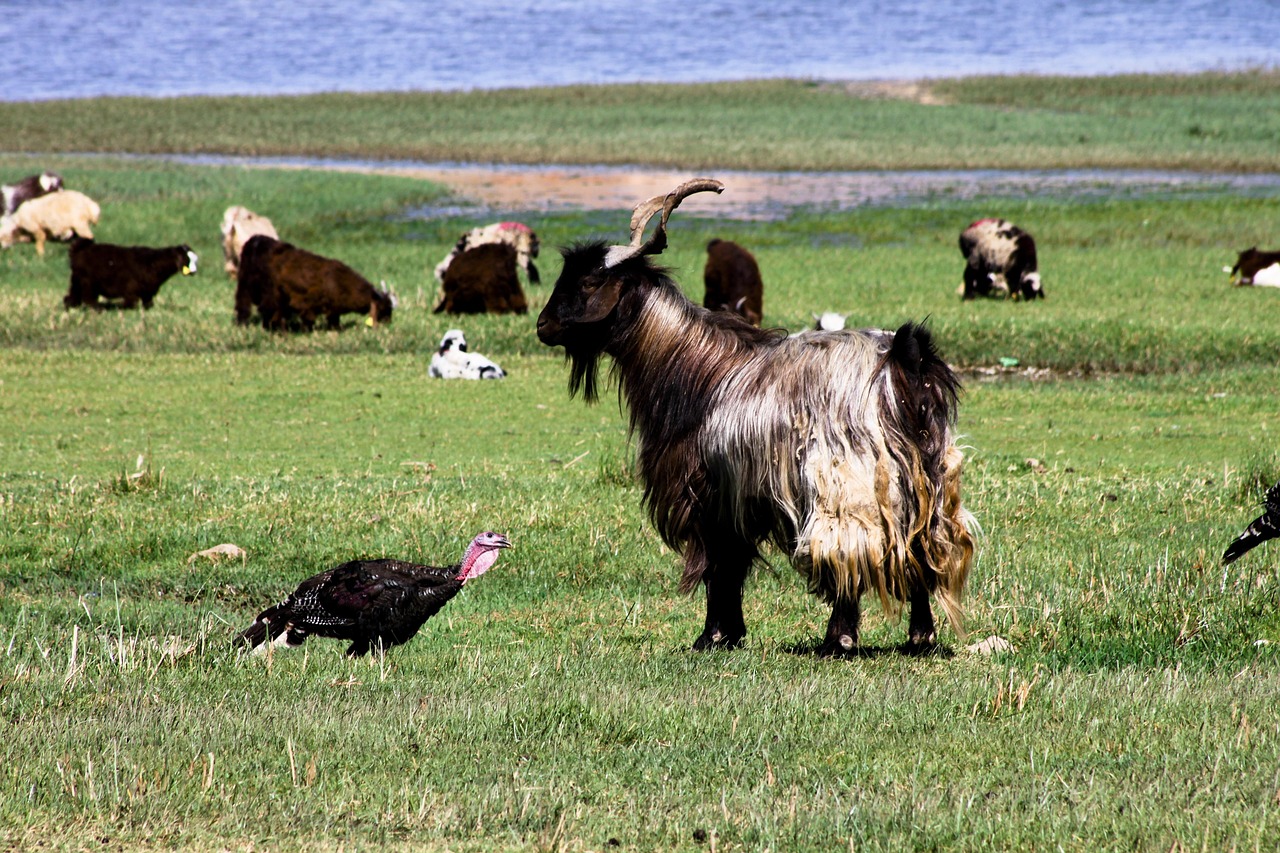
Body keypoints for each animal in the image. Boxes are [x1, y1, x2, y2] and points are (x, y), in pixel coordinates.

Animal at [65, 238, 197, 310]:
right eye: (187, 260)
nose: (194, 271)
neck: (153, 262)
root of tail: (78, 251)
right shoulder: (131, 289)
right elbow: (131, 303)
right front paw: (123, 309)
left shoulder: (148, 290)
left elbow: (148, 304)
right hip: (88, 282)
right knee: (89, 299)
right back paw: (98, 309)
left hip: (77, 280)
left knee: (71, 297)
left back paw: (71, 308)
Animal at [235, 235, 395, 330]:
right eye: (384, 308)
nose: (389, 324)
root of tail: (254, 240)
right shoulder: (307, 304)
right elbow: (309, 320)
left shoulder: (332, 308)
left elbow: (333, 320)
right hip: (250, 290)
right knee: (248, 307)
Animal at [537, 180, 975, 656]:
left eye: (589, 280)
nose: (543, 326)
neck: (692, 370)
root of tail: (905, 360)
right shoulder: (737, 497)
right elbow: (733, 563)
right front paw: (730, 633)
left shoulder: (706, 492)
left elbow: (716, 564)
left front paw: (710, 636)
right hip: (926, 481)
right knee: (921, 550)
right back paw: (920, 636)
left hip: (847, 484)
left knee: (849, 552)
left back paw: (837, 638)